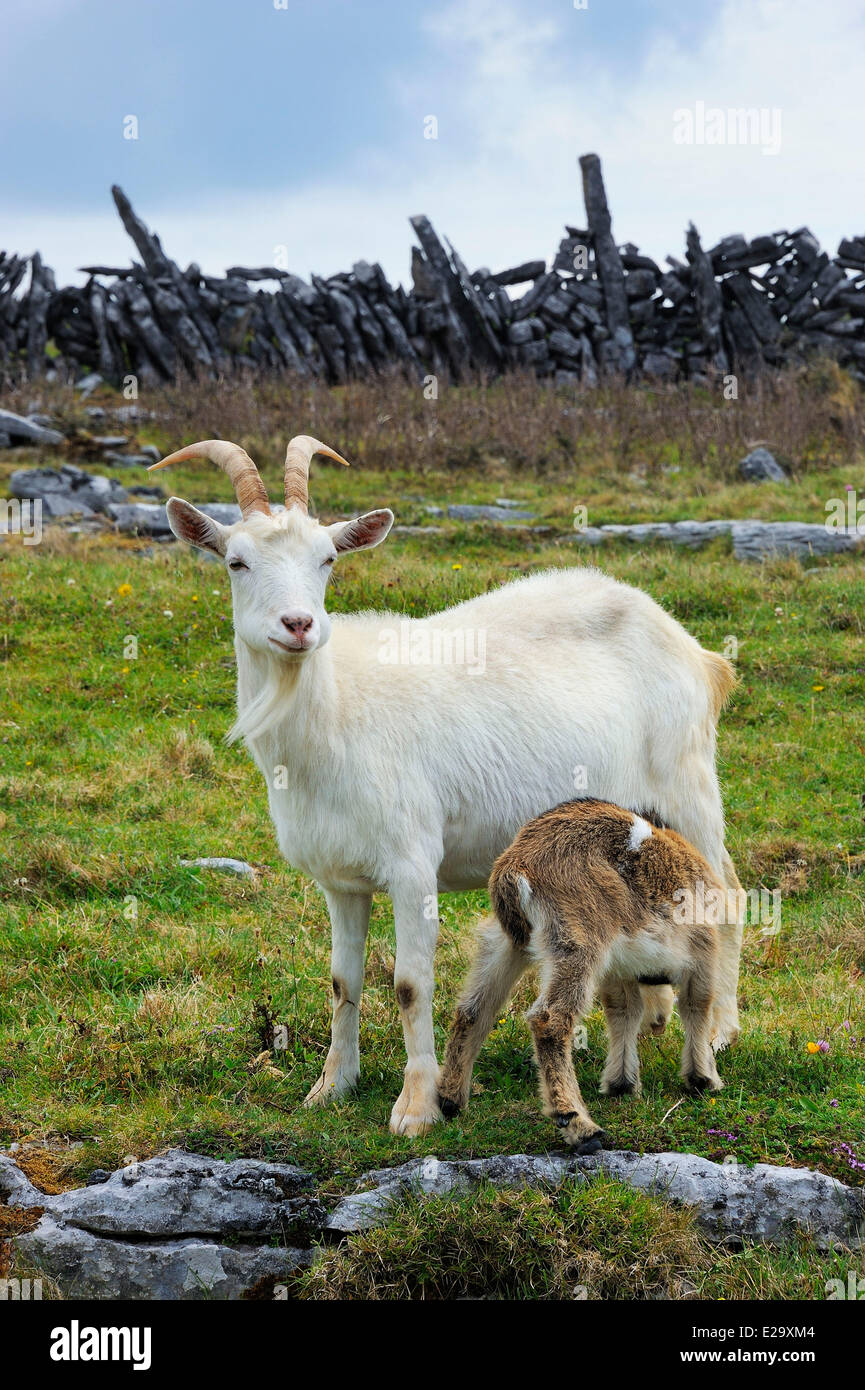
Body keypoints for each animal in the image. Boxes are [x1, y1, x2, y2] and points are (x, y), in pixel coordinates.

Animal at [437, 799, 724, 1151]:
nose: (658, 1023)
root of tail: (515, 867)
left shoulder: (618, 969)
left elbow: (623, 1011)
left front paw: (621, 1083)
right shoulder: (703, 951)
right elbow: (698, 1004)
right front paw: (703, 1079)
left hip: (510, 942)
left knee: (474, 1008)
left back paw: (450, 1099)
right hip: (577, 940)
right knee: (549, 1019)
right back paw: (579, 1124)